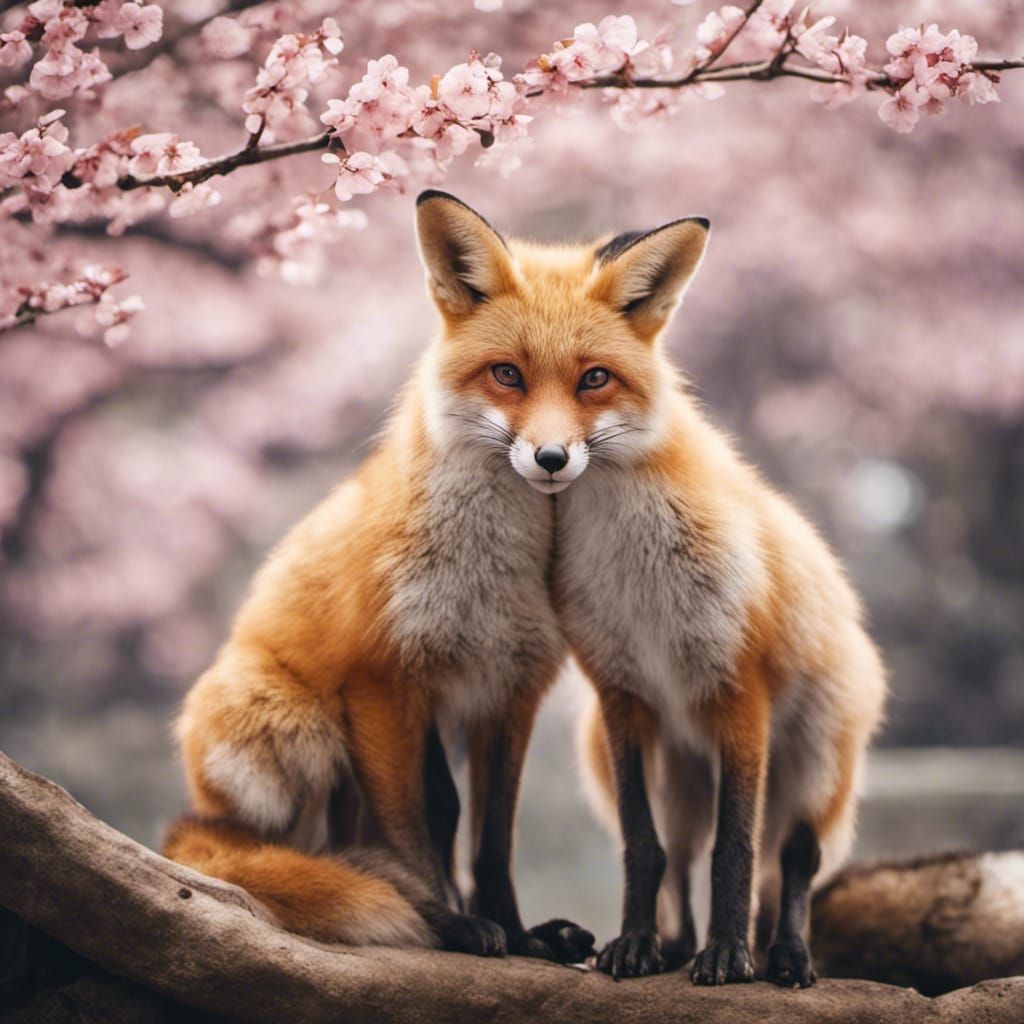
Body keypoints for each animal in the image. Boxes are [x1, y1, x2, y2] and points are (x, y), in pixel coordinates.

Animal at [162, 190, 596, 963]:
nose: (551, 457)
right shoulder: (385, 681)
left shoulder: (510, 689)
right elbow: (423, 826)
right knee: (282, 845)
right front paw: (450, 924)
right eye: (507, 374)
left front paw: (518, 936)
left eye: (589, 381)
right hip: (297, 729)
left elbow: (490, 842)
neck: (490, 572)